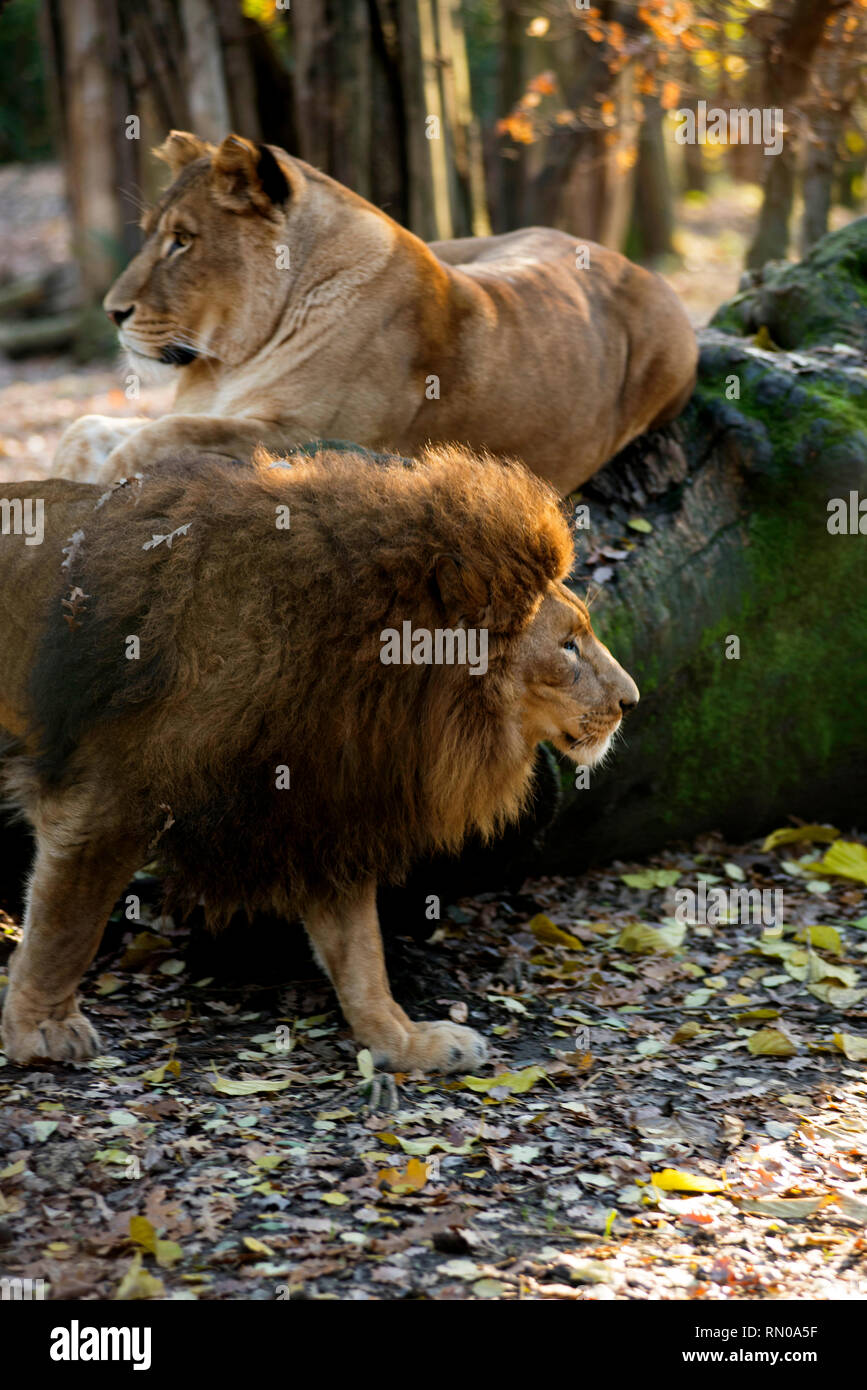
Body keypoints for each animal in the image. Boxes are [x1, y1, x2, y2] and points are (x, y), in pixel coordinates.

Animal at [0, 443, 638, 1073]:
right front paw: (42, 1030)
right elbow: (68, 927)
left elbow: (360, 955)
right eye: (567, 646)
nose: (631, 701)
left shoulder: (321, 799)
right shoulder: (108, 796)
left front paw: (406, 1042)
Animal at [52, 130, 697, 496]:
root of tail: (623, 259)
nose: (111, 313)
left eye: (183, 241)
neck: (230, 361)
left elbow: (162, 436)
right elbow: (87, 428)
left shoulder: (316, 441)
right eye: (149, 234)